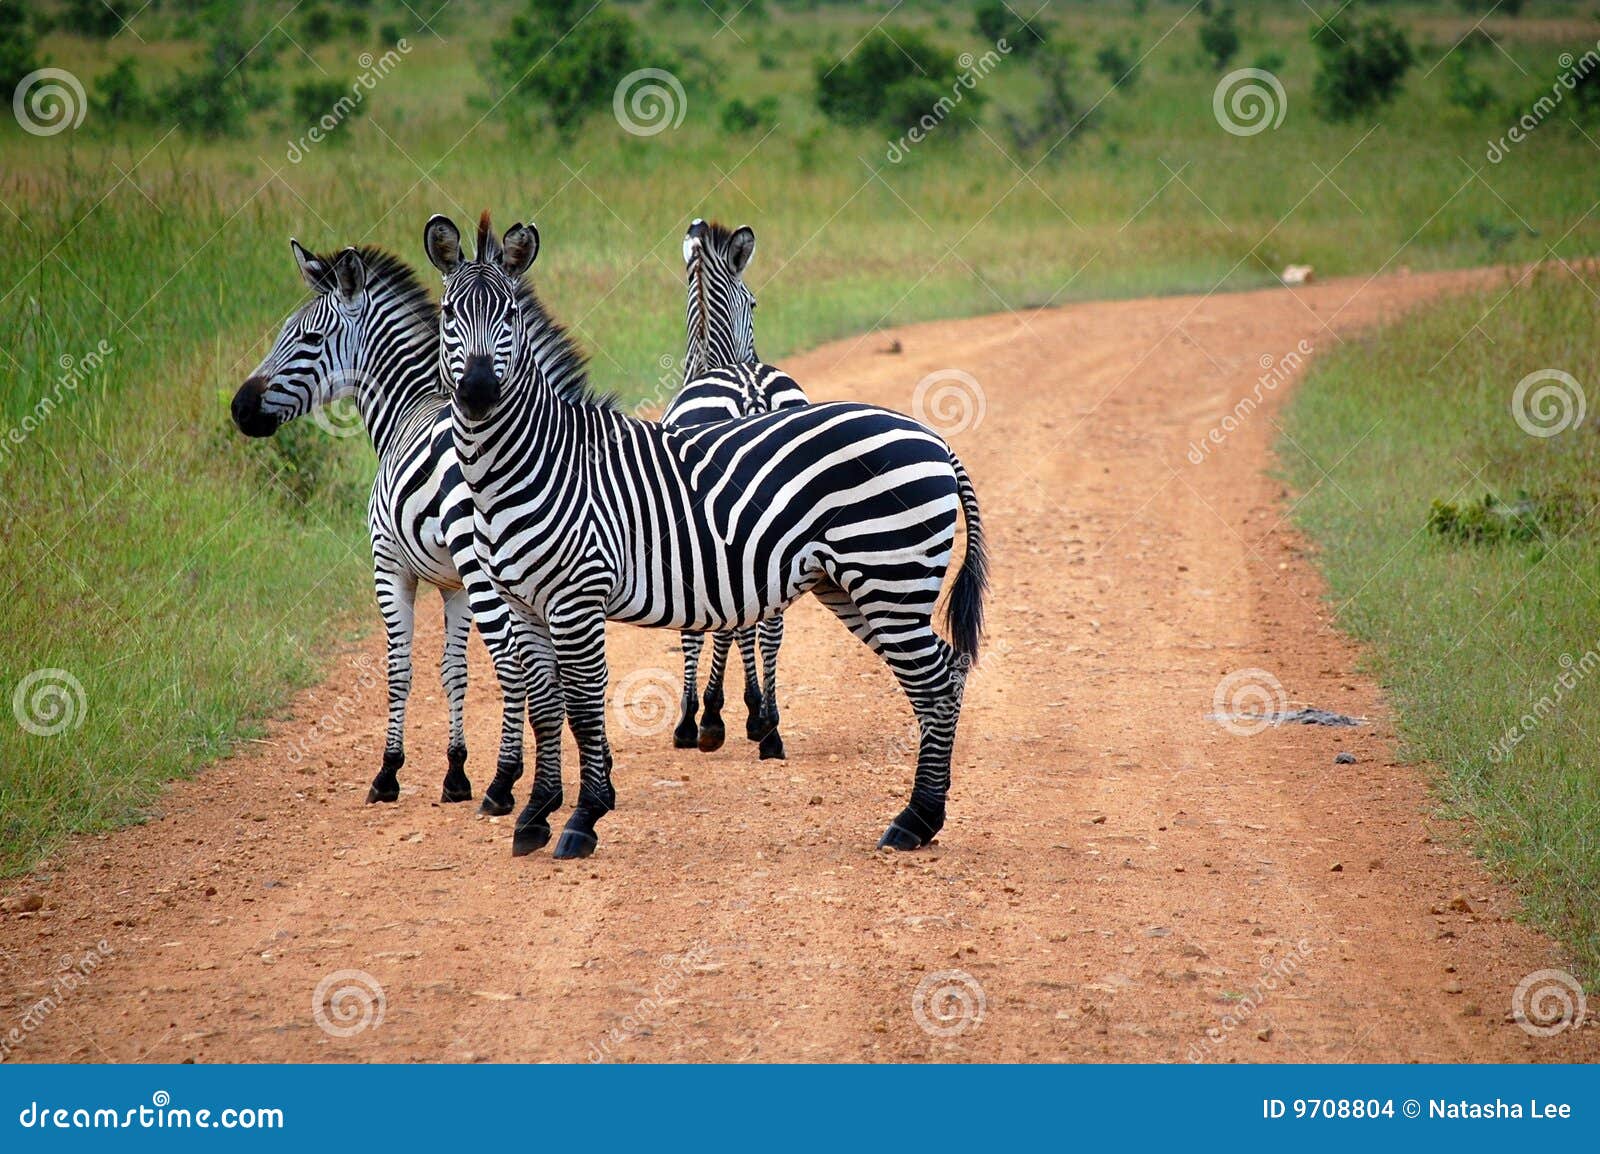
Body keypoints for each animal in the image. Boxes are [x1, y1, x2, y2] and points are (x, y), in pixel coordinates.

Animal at [231, 240, 557, 817]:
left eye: (308, 338)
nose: (239, 409)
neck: (408, 409)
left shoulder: (390, 566)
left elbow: (400, 670)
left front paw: (388, 773)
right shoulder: (453, 586)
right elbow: (453, 673)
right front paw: (455, 772)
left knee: (515, 665)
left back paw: (506, 783)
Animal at [663, 218, 806, 761]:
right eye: (757, 304)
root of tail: (752, 389)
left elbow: (699, 627)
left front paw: (701, 716)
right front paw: (739, 708)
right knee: (772, 624)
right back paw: (771, 728)